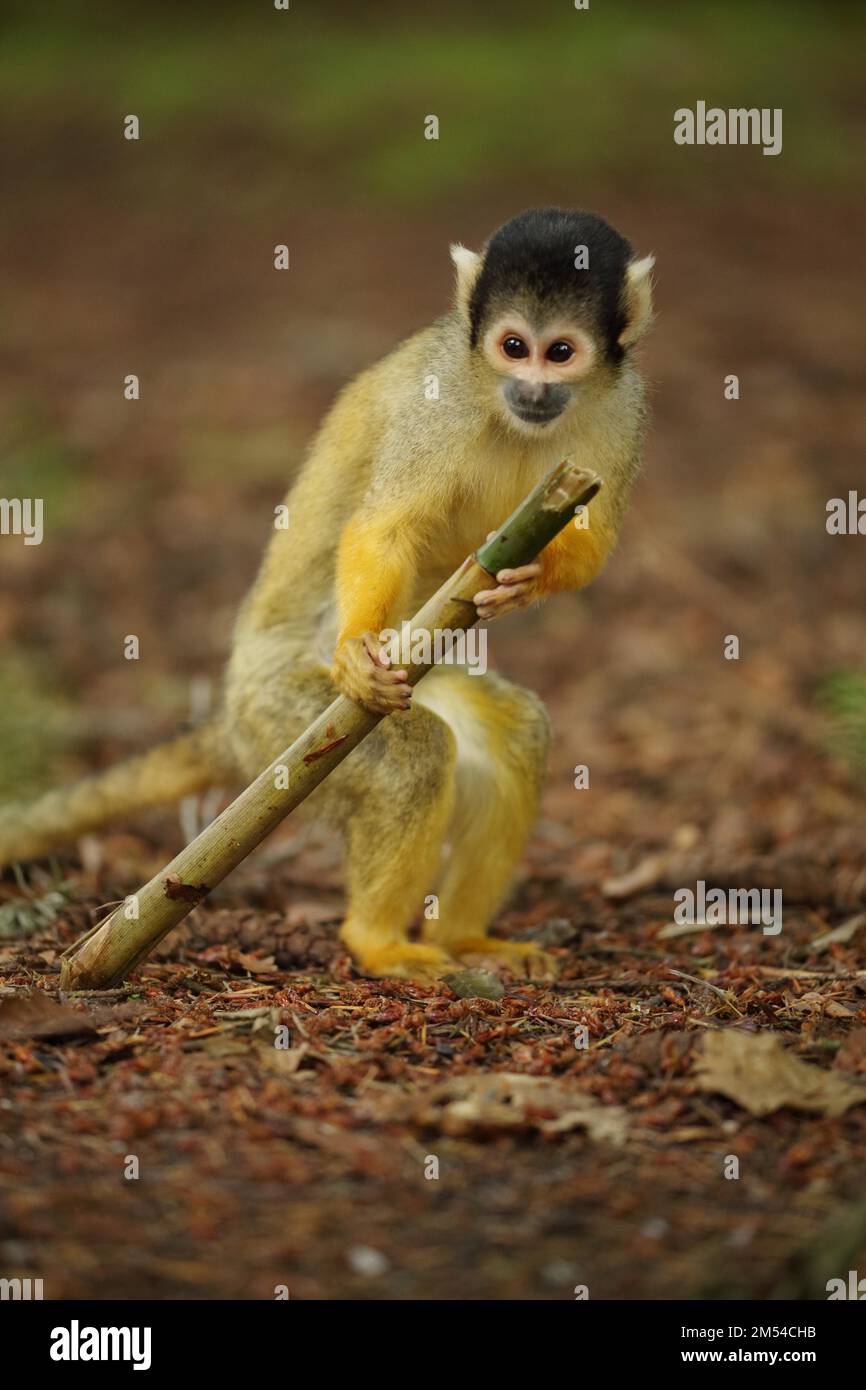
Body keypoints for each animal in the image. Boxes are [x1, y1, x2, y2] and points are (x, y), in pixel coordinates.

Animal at [0, 207, 654, 981]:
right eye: (514, 347)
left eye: (560, 353)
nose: (533, 389)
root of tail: (232, 716)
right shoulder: (437, 405)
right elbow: (386, 524)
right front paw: (354, 646)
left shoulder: (623, 407)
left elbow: (594, 543)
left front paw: (524, 584)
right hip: (283, 719)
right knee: (410, 754)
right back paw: (374, 938)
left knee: (516, 729)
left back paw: (464, 936)